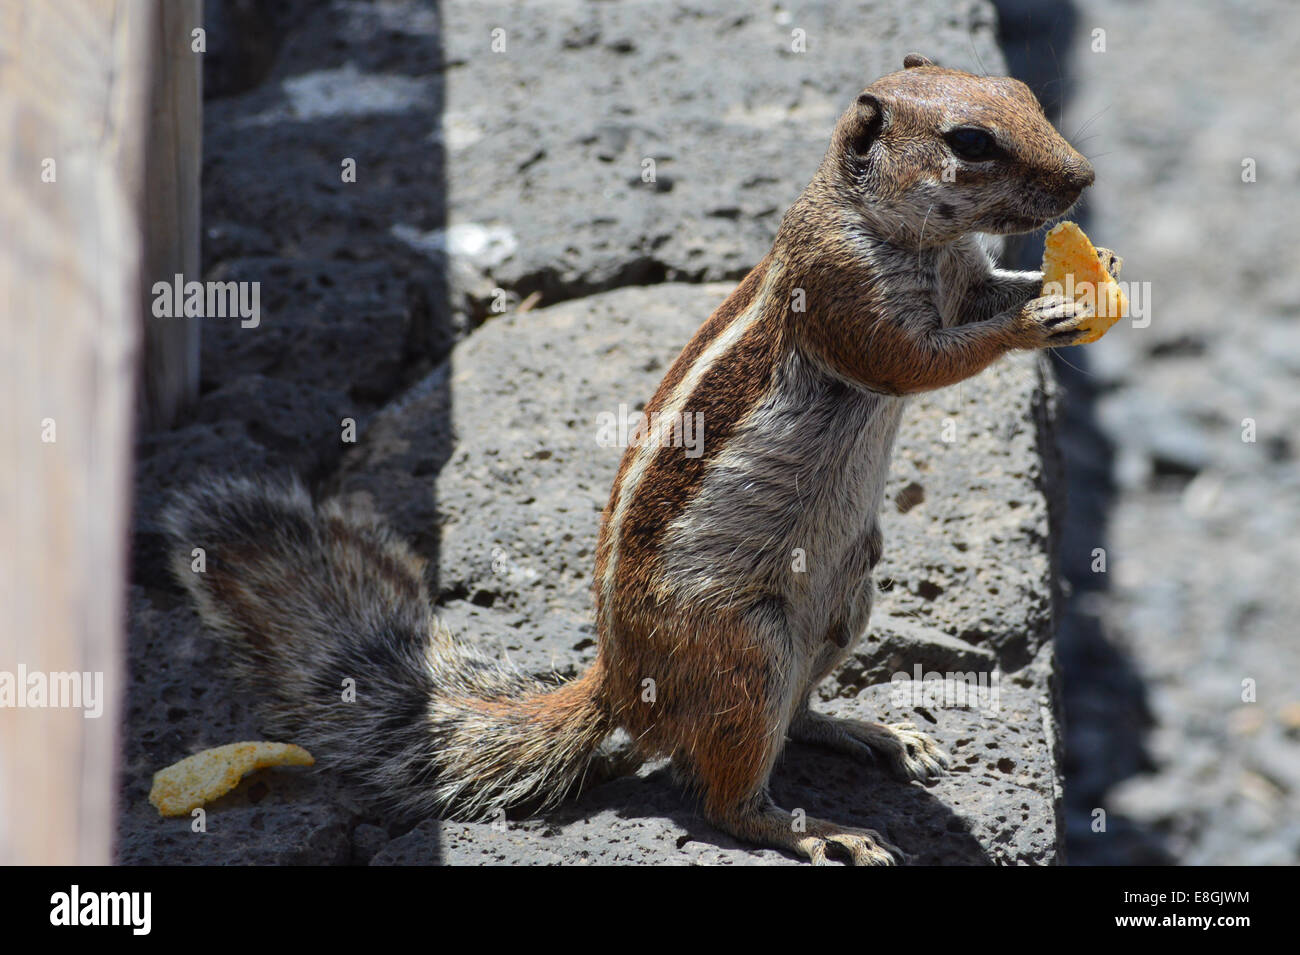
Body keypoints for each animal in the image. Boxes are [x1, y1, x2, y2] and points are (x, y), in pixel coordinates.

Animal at [165, 55, 1117, 865]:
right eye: (970, 142)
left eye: (1024, 93)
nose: (1084, 179)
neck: (888, 224)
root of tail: (619, 687)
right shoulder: (844, 293)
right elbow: (916, 360)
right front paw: (1036, 319)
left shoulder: (962, 271)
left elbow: (986, 293)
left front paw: (1084, 276)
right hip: (747, 651)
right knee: (723, 796)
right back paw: (819, 830)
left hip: (847, 596)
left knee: (795, 718)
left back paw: (869, 732)